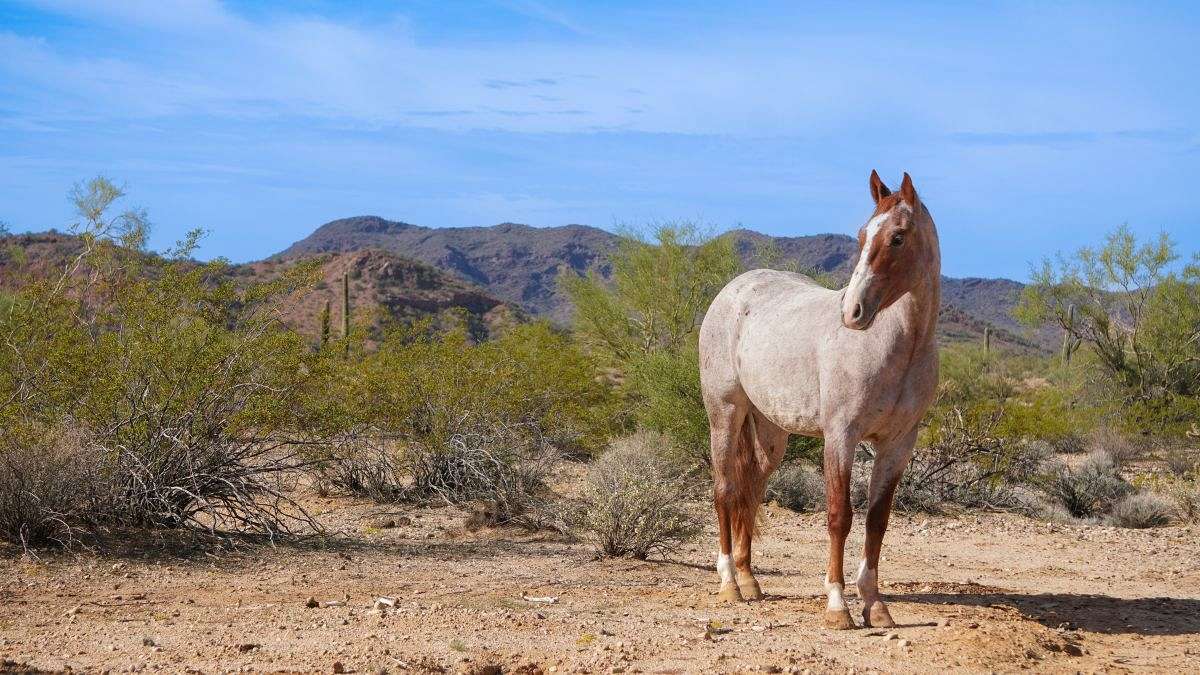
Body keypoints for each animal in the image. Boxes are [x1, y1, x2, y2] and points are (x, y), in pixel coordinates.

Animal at [698, 171, 940, 630]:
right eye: (862, 235)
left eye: (898, 237)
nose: (853, 312)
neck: (896, 346)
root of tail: (732, 291)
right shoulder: (841, 437)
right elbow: (839, 517)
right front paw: (838, 606)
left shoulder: (898, 444)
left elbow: (877, 521)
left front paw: (875, 605)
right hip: (725, 413)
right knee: (725, 489)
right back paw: (728, 584)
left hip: (771, 431)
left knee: (751, 488)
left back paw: (749, 579)